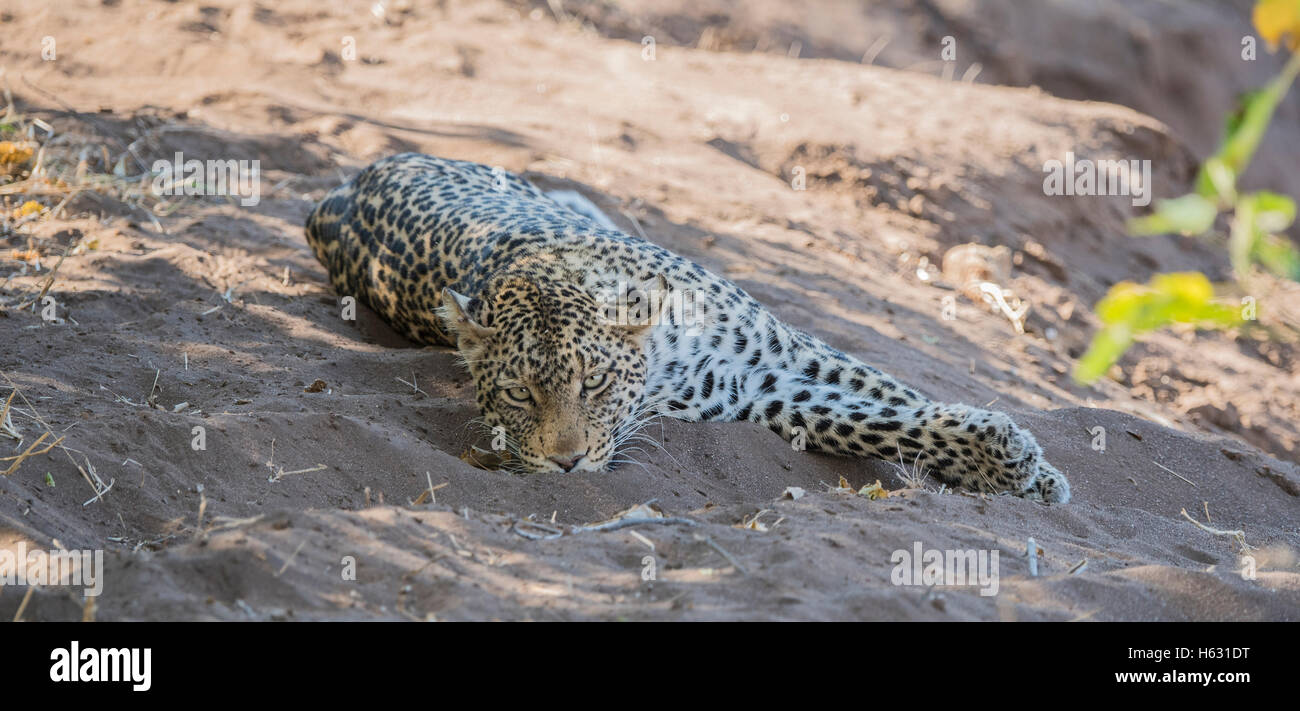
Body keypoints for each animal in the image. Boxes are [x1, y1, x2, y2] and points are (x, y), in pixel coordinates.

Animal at [305, 153, 1070, 503]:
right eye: (519, 395)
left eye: (595, 383)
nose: (566, 465)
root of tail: (339, 190)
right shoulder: (763, 393)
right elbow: (870, 422)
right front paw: (1007, 460)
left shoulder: (787, 347)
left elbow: (894, 393)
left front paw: (1037, 470)